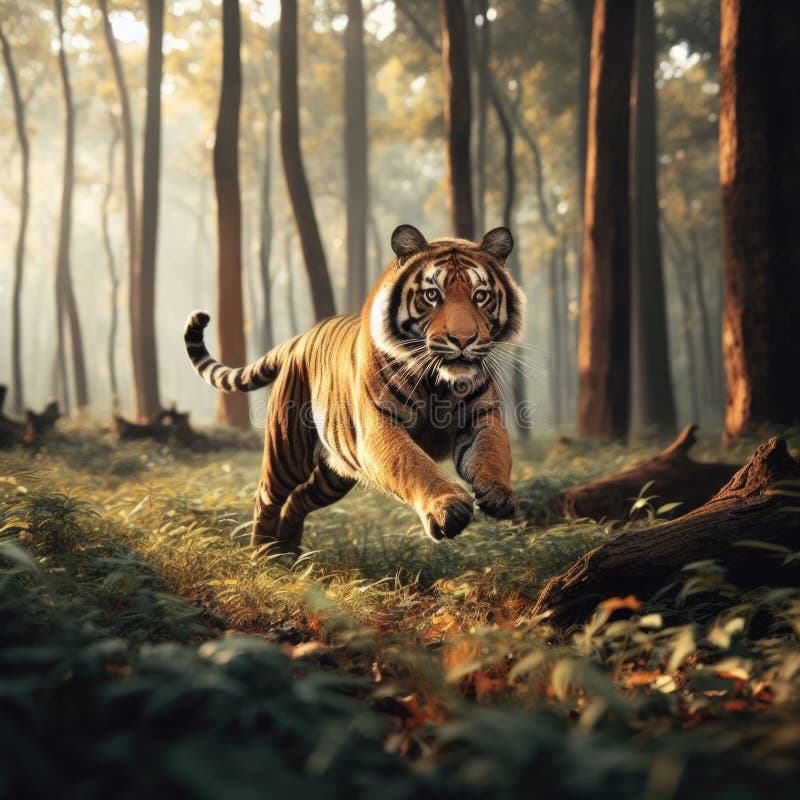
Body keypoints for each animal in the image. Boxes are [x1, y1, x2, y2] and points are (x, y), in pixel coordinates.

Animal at [183, 224, 526, 551]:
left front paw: (500, 494)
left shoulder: (482, 417)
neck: (437, 381)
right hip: (287, 453)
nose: (463, 340)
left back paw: (289, 551)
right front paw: (447, 507)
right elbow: (414, 465)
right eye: (431, 295)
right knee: (267, 497)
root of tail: (298, 339)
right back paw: (263, 554)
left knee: (299, 499)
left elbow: (494, 453)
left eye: (480, 296)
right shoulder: (380, 428)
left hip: (335, 474)